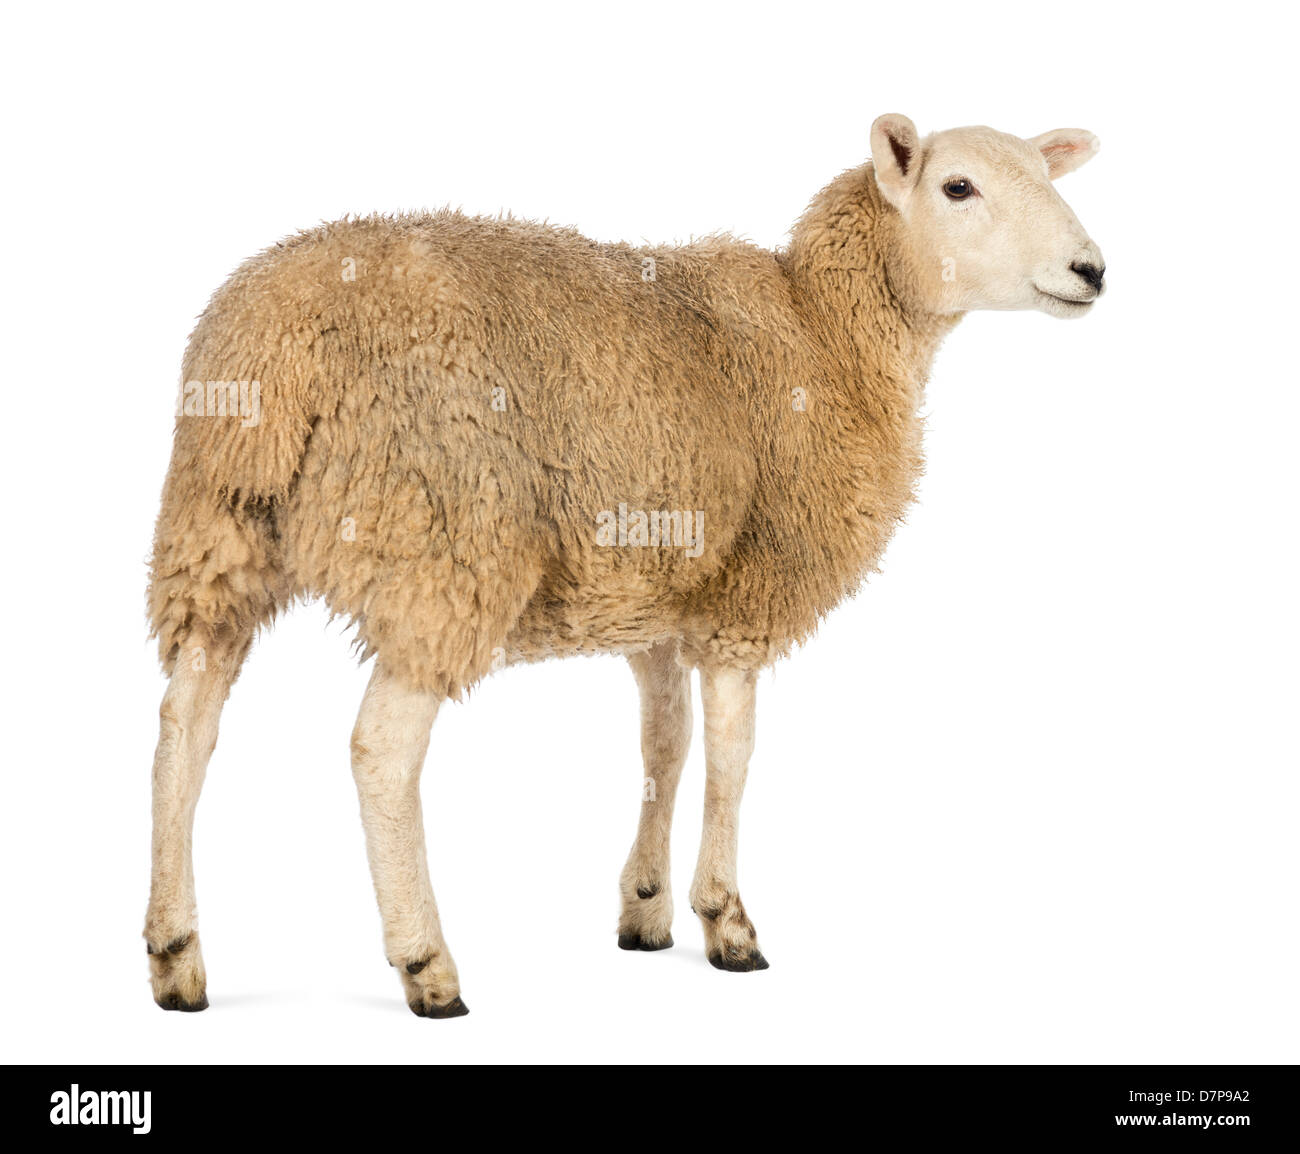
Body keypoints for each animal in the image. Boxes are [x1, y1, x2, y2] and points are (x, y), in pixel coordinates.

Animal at [144, 114, 1104, 1017]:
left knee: (183, 731)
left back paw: (173, 955)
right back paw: (428, 967)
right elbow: (732, 756)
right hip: (443, 545)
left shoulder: (660, 599)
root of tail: (281, 351)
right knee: (378, 754)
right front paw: (726, 922)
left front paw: (644, 909)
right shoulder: (746, 594)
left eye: (1042, 171)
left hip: (216, 538)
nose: (1092, 269)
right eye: (957, 185)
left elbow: (663, 745)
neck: (827, 333)